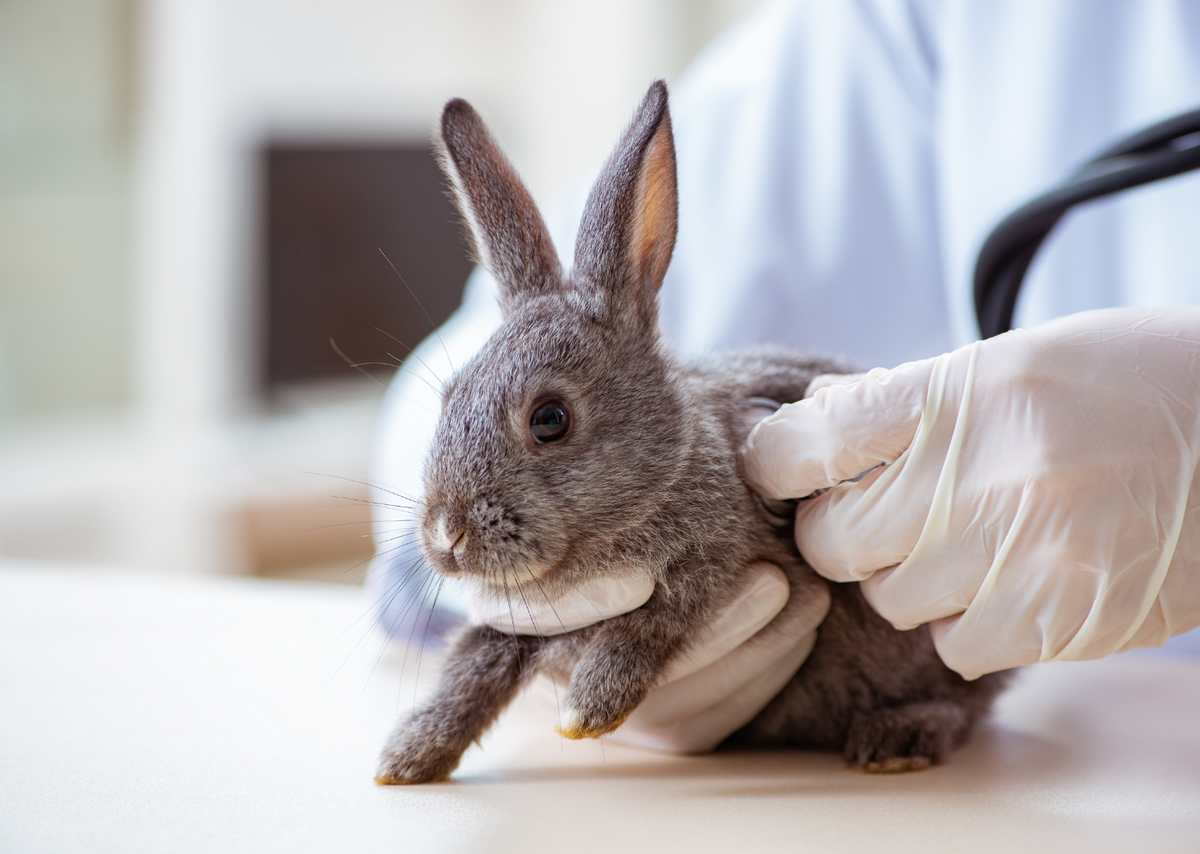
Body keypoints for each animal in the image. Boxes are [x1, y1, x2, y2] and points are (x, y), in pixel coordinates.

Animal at [375, 80, 1010, 785]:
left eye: (549, 419)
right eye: (447, 396)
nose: (446, 534)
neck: (667, 468)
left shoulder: (724, 567)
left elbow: (653, 623)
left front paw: (587, 708)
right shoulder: (513, 624)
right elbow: (471, 668)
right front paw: (408, 757)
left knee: (966, 699)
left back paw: (898, 737)